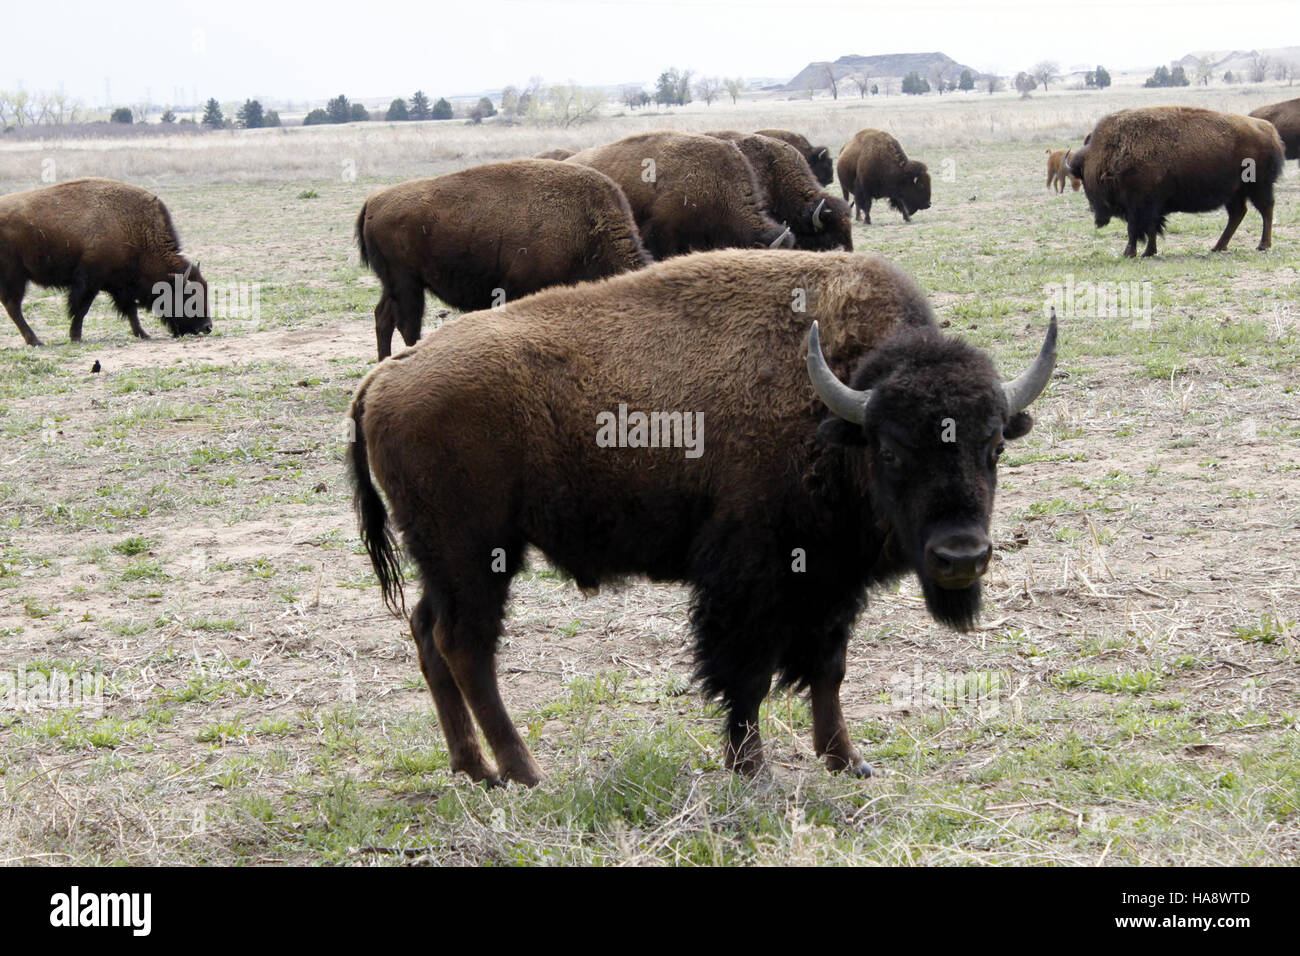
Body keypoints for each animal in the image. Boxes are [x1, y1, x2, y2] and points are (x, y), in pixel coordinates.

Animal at [0, 178, 211, 346]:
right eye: (189, 296)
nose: (207, 327)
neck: (135, 230)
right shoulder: (90, 282)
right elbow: (82, 309)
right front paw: (75, 337)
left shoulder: (121, 286)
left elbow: (131, 310)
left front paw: (143, 334)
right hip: (16, 277)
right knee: (13, 306)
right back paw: (36, 341)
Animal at [348, 249, 1056, 785]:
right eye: (891, 451)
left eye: (995, 446)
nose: (961, 557)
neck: (836, 409)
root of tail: (385, 377)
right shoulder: (749, 583)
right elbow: (745, 675)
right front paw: (752, 769)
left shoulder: (831, 582)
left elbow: (828, 669)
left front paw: (848, 761)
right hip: (475, 556)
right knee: (466, 647)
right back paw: (524, 771)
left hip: (444, 561)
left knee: (428, 634)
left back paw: (475, 769)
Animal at [355, 159, 650, 359]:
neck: (589, 229)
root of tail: (373, 201)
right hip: (407, 284)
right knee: (407, 325)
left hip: (394, 285)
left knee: (383, 317)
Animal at [1067, 106, 1283, 257]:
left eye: (1084, 179)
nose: (1095, 214)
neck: (1112, 154)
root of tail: (1270, 130)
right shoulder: (1150, 207)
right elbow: (1151, 228)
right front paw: (1148, 252)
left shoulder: (1138, 206)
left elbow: (1135, 229)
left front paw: (1130, 253)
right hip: (1235, 193)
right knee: (1238, 214)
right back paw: (1217, 247)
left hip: (1258, 187)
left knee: (1266, 210)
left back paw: (1262, 245)